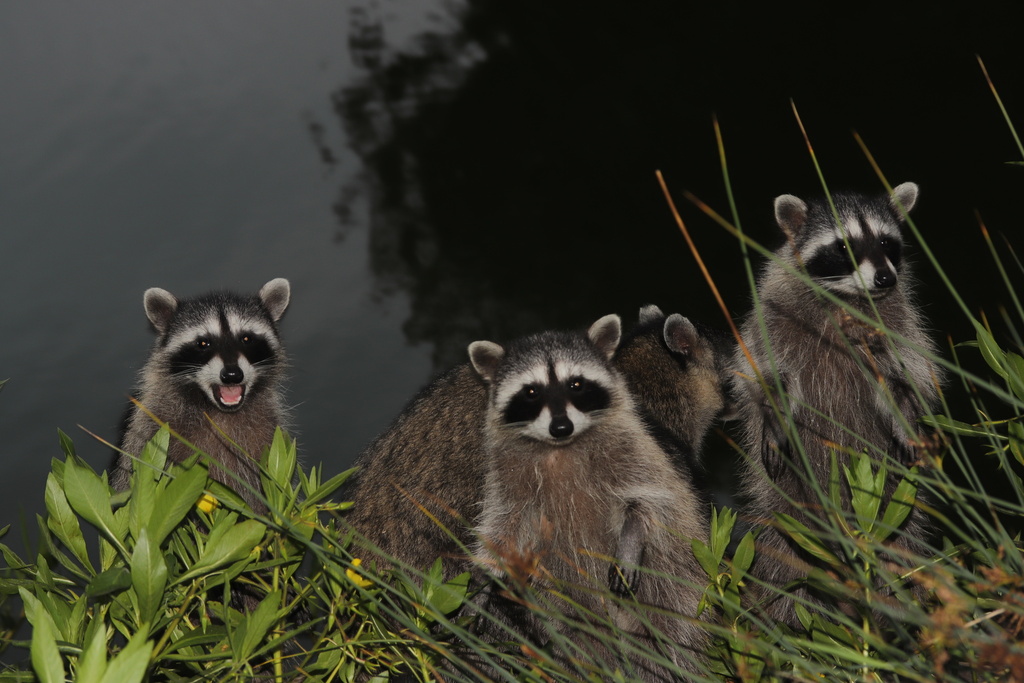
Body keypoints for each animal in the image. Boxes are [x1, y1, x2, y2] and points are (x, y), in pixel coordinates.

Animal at [111, 278, 291, 513]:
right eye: (203, 343)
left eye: (246, 338)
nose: (232, 375)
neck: (216, 411)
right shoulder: (150, 431)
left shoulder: (270, 435)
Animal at [470, 314, 710, 680]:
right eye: (531, 391)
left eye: (576, 385)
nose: (561, 427)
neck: (560, 448)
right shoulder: (507, 476)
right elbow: (503, 526)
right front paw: (486, 578)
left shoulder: (632, 448)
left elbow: (645, 500)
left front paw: (631, 541)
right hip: (563, 600)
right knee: (577, 640)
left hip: (672, 578)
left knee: (673, 632)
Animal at [730, 183, 941, 624]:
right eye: (844, 246)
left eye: (886, 242)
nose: (885, 277)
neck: (848, 298)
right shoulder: (772, 319)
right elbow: (766, 377)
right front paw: (774, 415)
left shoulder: (897, 328)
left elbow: (903, 380)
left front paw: (905, 418)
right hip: (785, 498)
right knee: (786, 554)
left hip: (892, 496)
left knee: (902, 539)